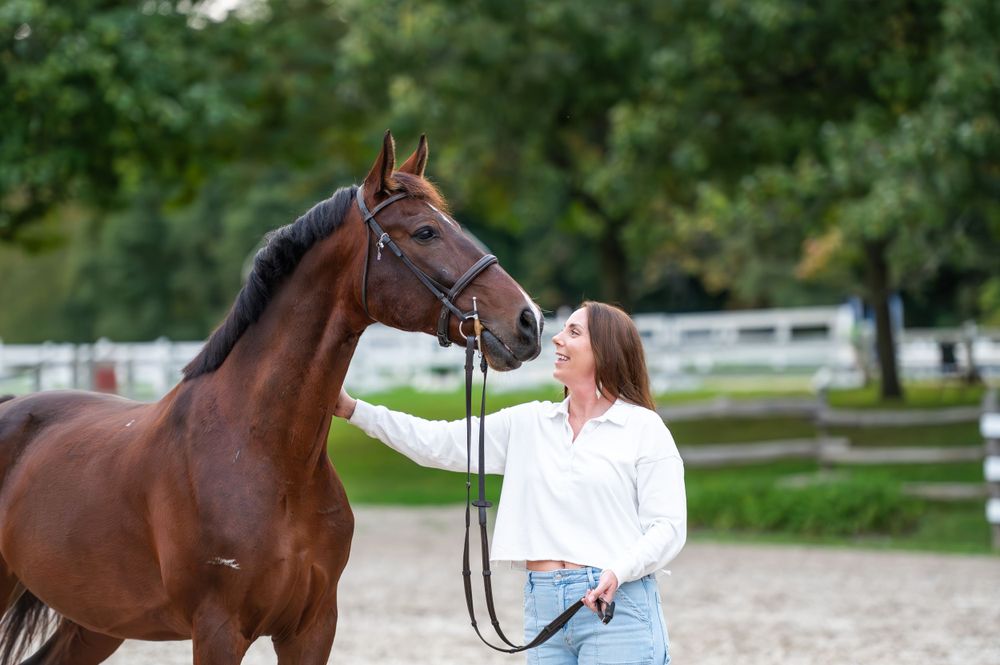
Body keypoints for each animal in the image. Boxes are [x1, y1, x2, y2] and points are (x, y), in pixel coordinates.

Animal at [0, 132, 543, 665]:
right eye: (426, 232)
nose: (529, 321)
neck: (263, 452)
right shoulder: (217, 631)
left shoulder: (313, 628)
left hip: (99, 621)